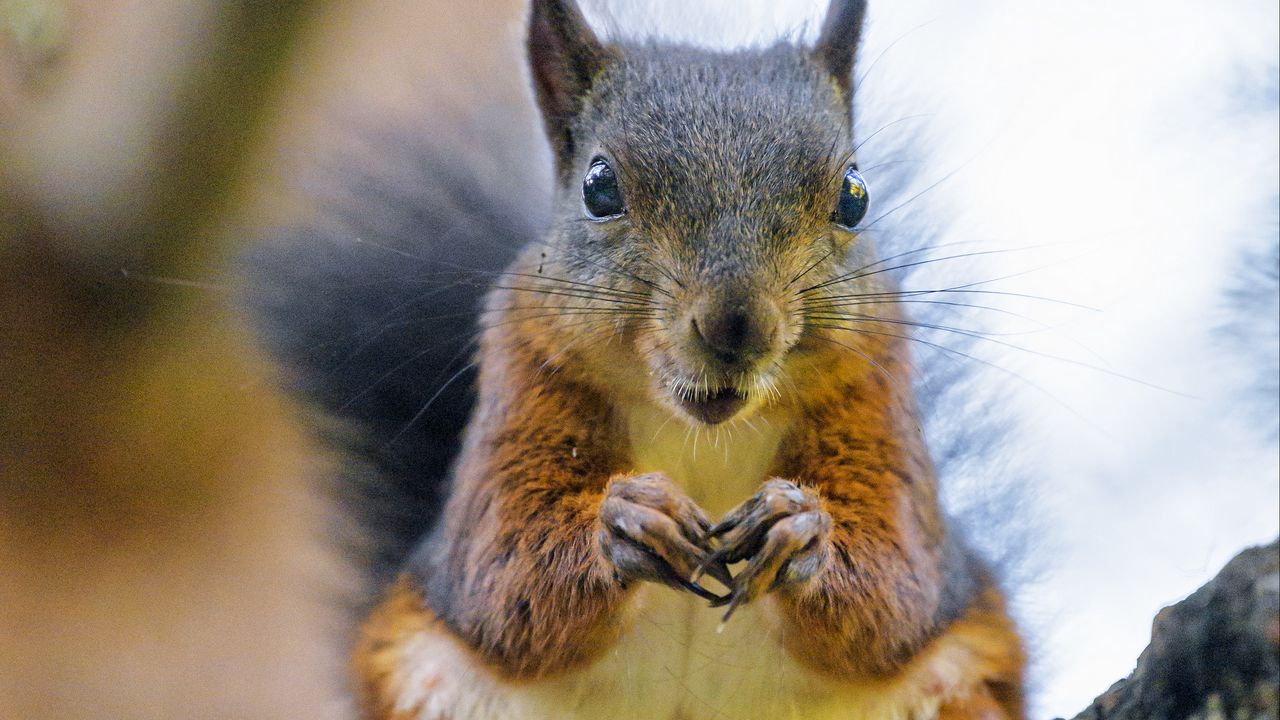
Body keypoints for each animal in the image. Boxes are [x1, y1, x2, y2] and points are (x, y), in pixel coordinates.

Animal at [250, 0, 1026, 717]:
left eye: (855, 195)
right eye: (599, 187)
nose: (737, 324)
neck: (704, 436)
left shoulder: (875, 389)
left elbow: (899, 583)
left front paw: (800, 528)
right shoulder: (520, 374)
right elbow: (501, 572)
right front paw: (625, 519)